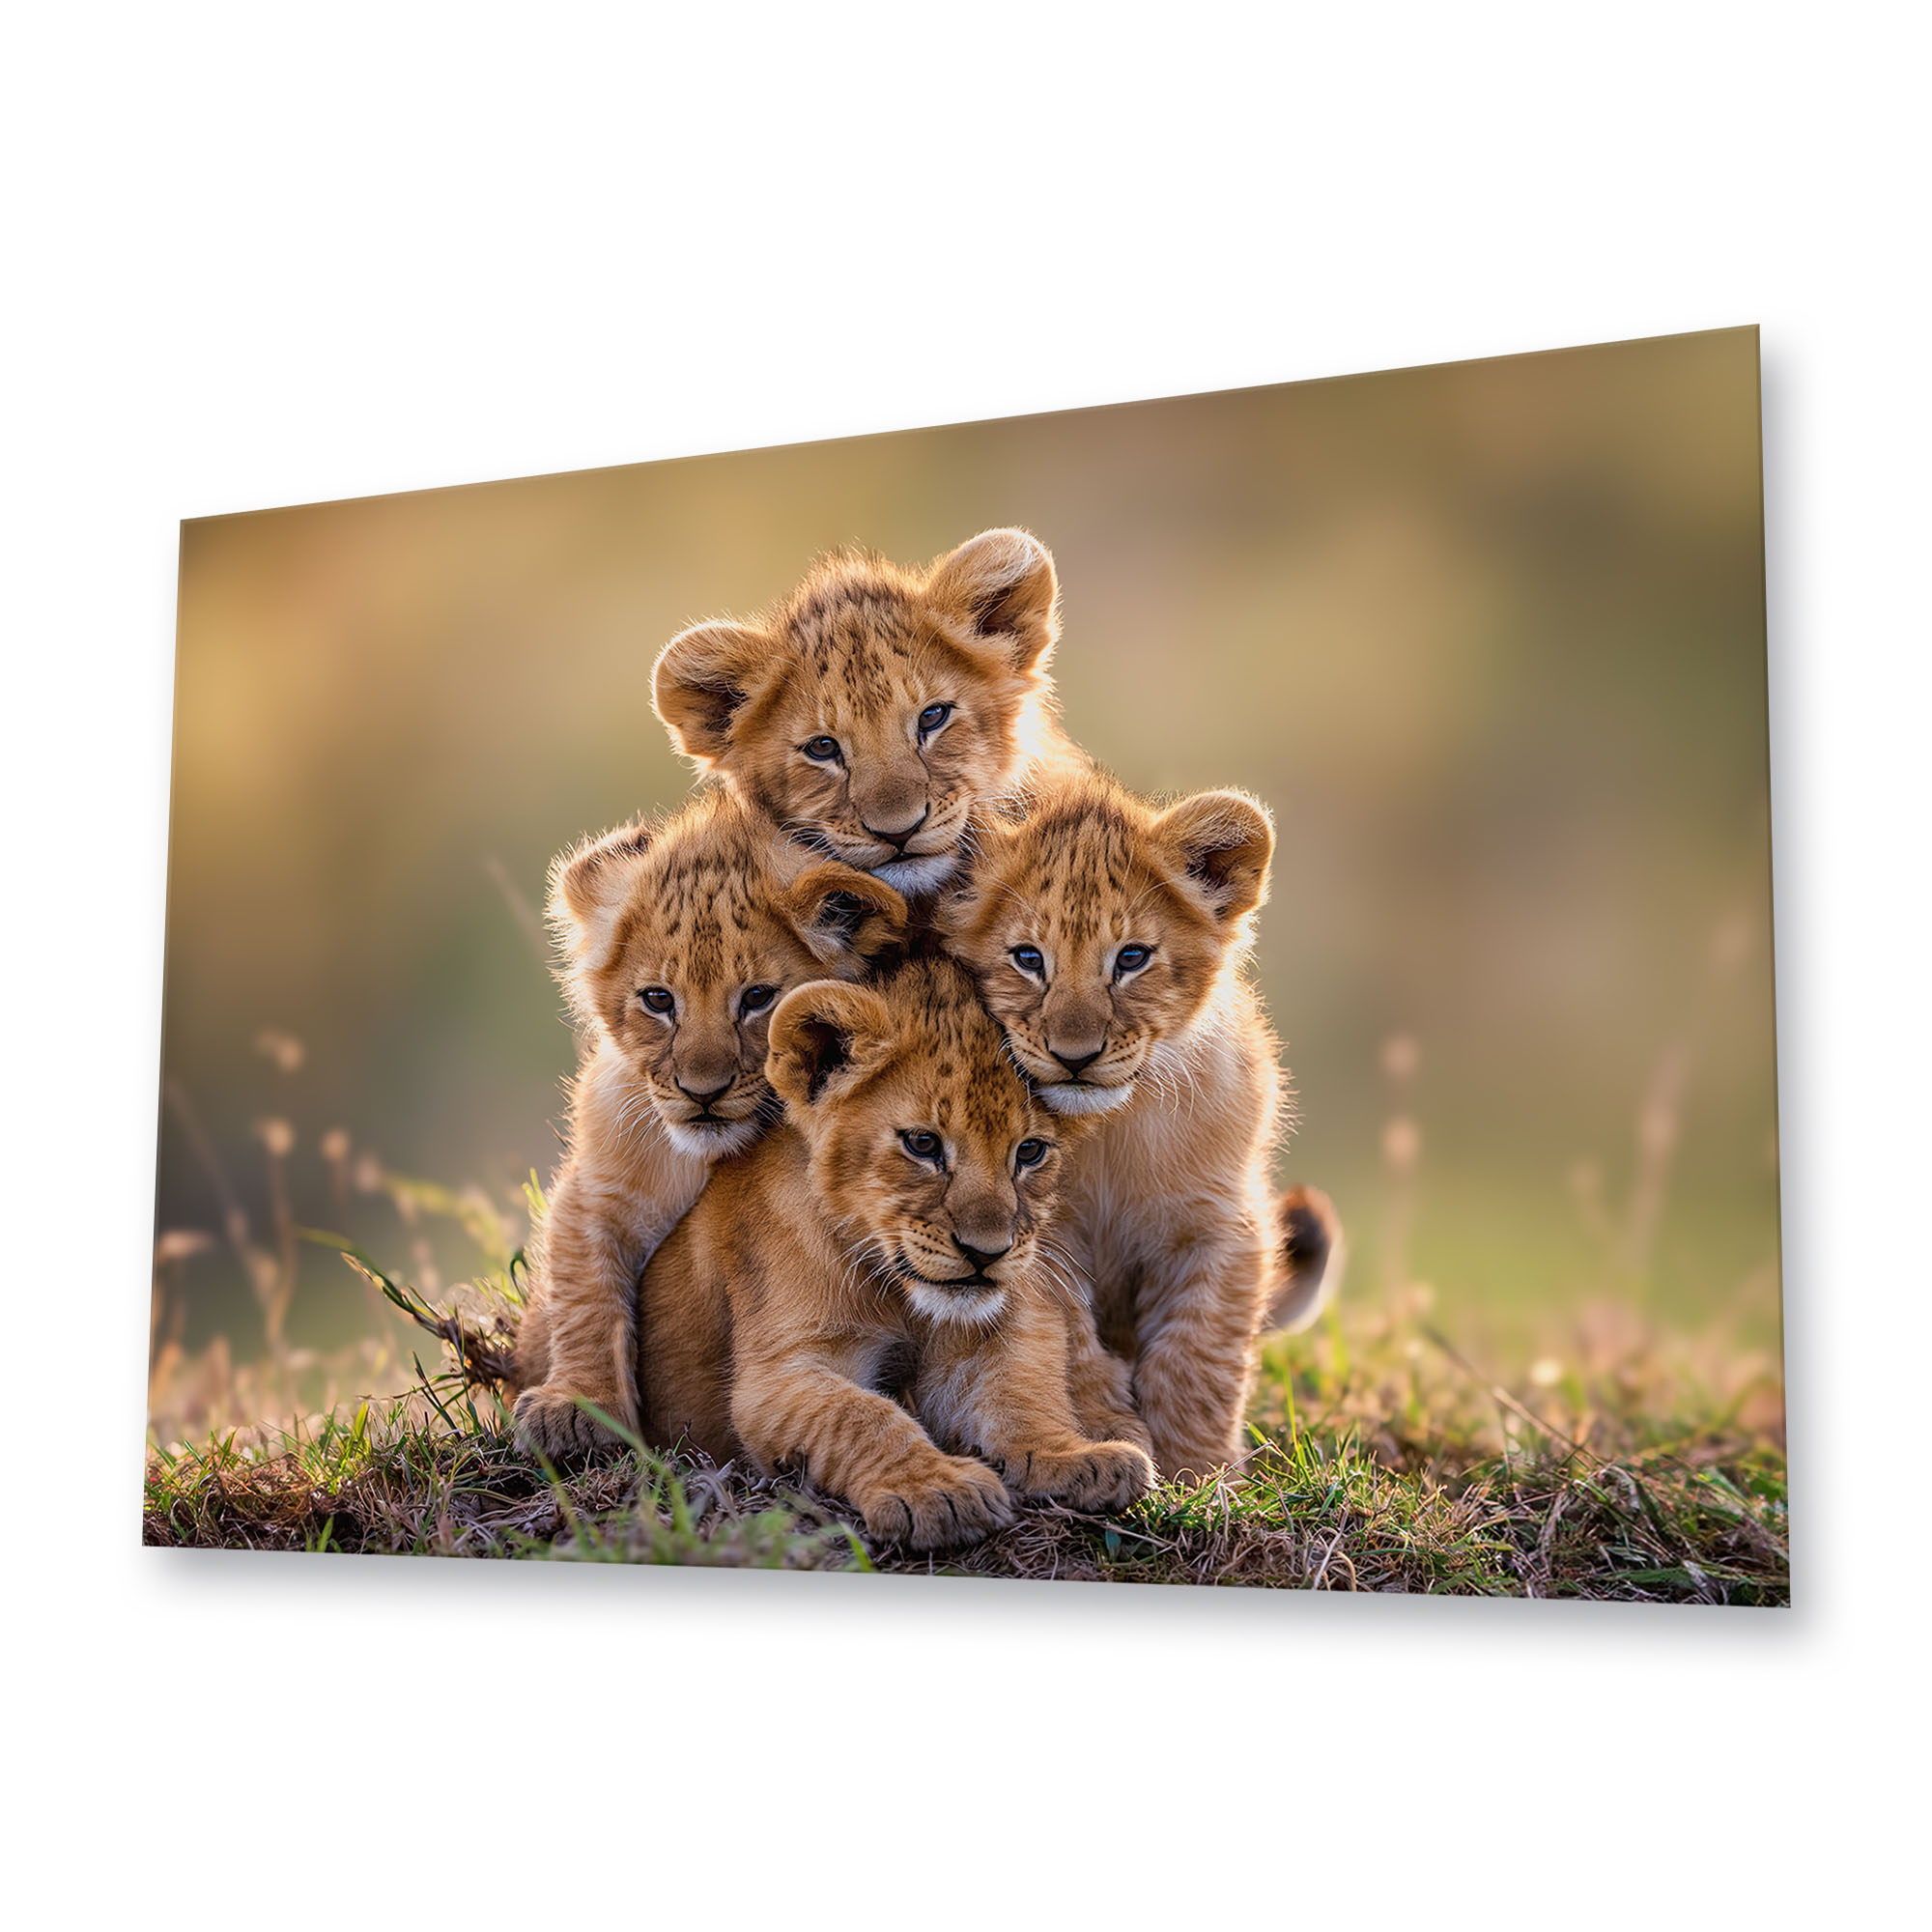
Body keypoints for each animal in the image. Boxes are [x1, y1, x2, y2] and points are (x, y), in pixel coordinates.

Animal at [510, 789, 910, 1458]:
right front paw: (573, 1408)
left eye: (757, 998)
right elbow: (585, 1297)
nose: (703, 1093)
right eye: (657, 1000)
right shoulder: (594, 1191)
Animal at [631, 952, 1156, 1549]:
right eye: (923, 1144)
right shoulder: (778, 1372)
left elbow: (1023, 1392)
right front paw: (937, 1490)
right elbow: (863, 1415)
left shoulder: (994, 1336)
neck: (902, 1298)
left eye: (1029, 1152)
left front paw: (1078, 1457)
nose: (987, 1252)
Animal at [938, 767, 1338, 1483]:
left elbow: (1199, 1358)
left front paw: (1198, 1473)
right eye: (1027, 958)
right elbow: (1071, 1344)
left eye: (1131, 958)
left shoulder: (1221, 1225)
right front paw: (1111, 1436)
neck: (1112, 1131)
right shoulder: (1032, 1233)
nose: (1075, 1055)